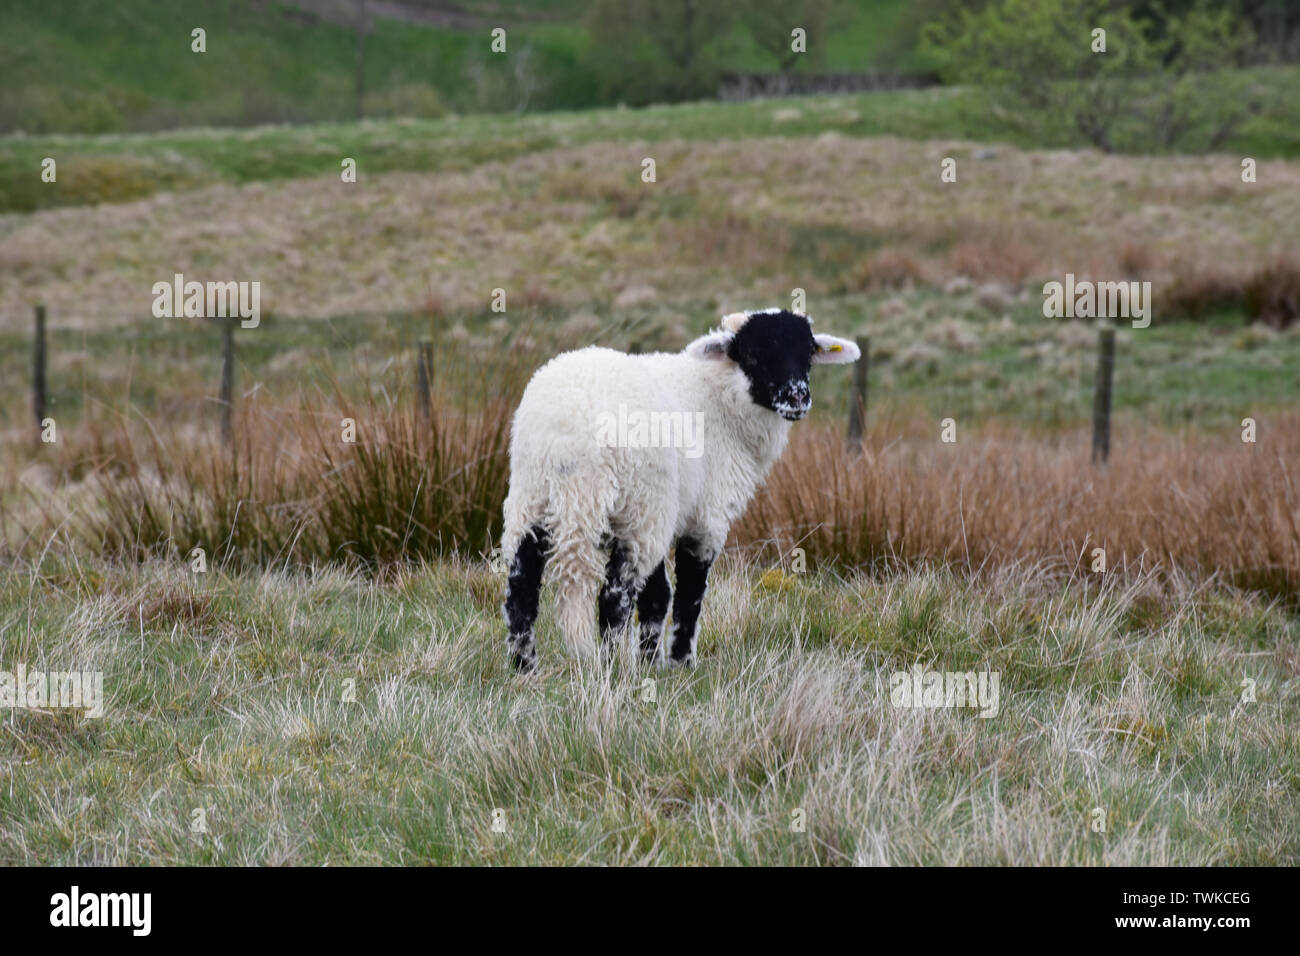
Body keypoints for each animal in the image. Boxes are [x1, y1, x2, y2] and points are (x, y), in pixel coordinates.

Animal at [499, 308, 860, 671]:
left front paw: (652, 660)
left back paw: (525, 666)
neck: (720, 397)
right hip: (637, 505)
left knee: (521, 586)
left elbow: (657, 596)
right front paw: (680, 661)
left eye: (808, 354)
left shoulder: (670, 515)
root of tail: (566, 432)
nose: (797, 397)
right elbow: (689, 594)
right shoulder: (705, 517)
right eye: (753, 355)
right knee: (614, 596)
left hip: (534, 496)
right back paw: (614, 668)